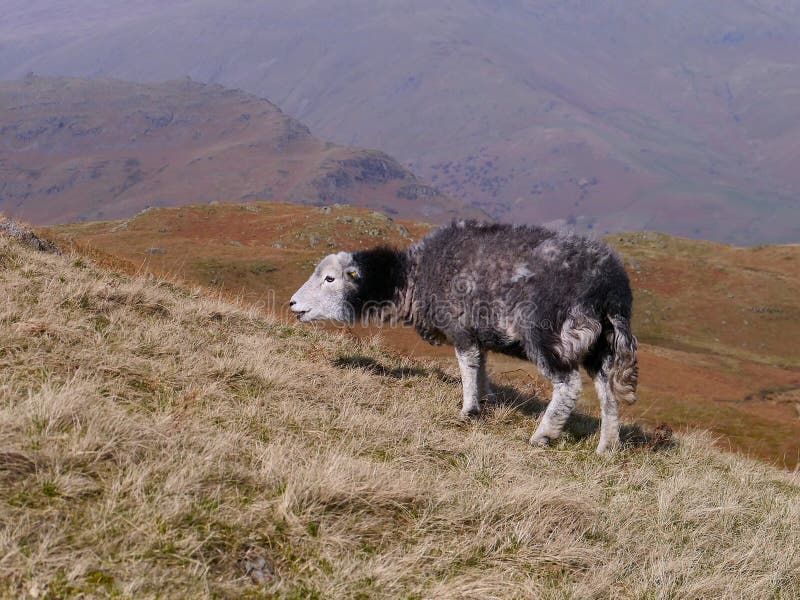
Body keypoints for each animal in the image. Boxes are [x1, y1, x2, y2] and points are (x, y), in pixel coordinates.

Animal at [290, 220, 638, 454]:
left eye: (329, 279)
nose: (292, 304)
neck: (413, 277)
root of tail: (610, 287)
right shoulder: (478, 333)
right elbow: (481, 365)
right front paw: (486, 400)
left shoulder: (460, 327)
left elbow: (467, 365)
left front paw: (468, 410)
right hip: (601, 345)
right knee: (608, 395)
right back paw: (607, 446)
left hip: (550, 334)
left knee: (568, 385)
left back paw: (544, 434)